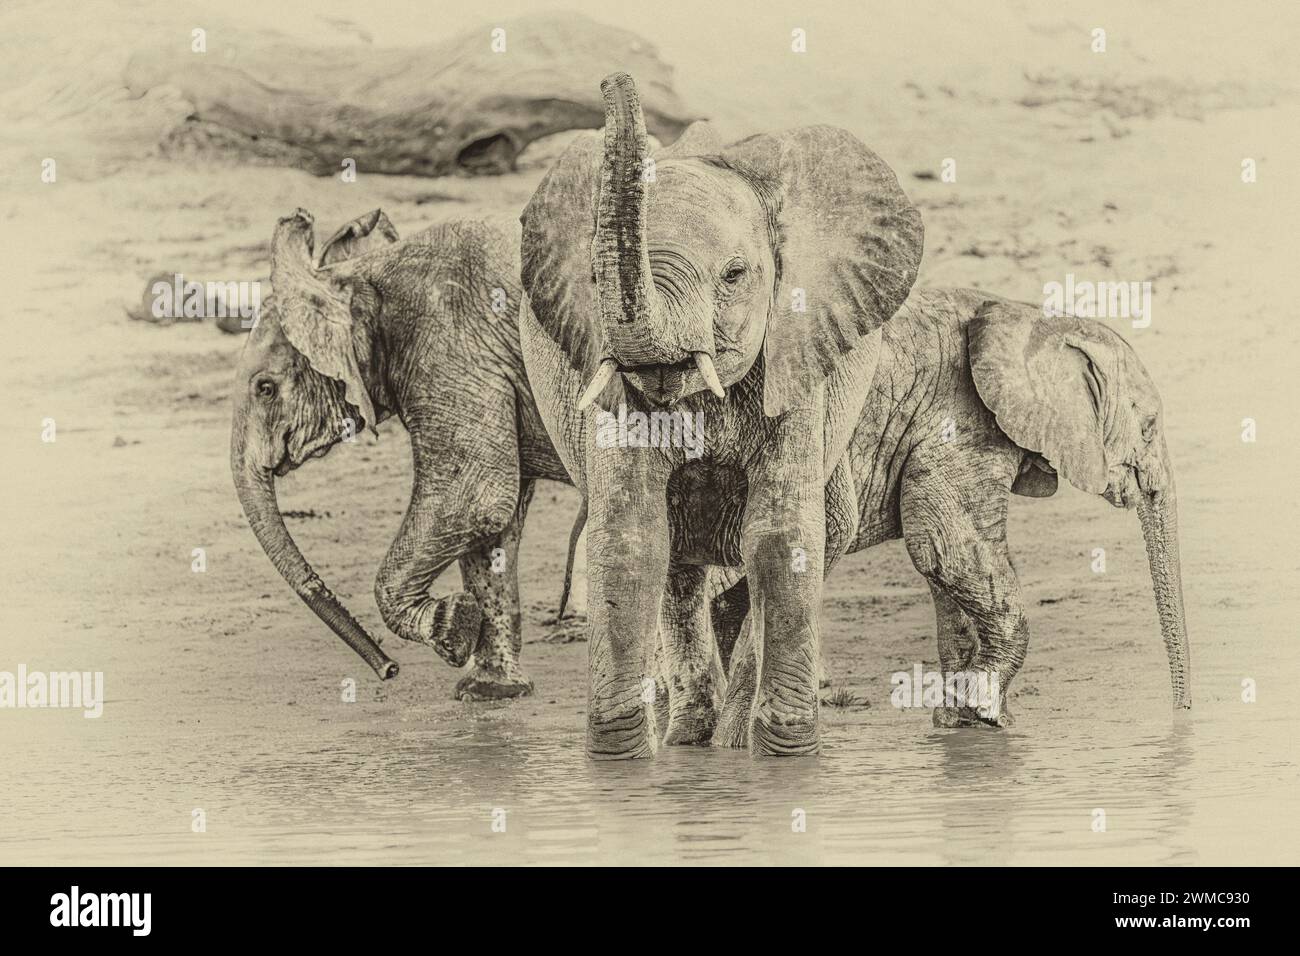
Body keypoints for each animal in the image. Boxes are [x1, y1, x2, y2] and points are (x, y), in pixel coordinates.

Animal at [230, 207, 571, 699]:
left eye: (265, 388)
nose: (390, 670)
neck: (359, 276)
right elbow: (494, 524)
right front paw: (490, 689)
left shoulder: (449, 348)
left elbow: (475, 499)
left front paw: (452, 627)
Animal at [518, 72, 924, 758]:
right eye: (594, 277)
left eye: (735, 275)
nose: (614, 81)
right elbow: (630, 536)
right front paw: (621, 763)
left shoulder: (797, 348)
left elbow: (781, 538)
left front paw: (782, 758)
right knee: (679, 567)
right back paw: (689, 738)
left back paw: (728, 742)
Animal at [713, 288, 1191, 745]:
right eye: (1148, 425)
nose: (1182, 721)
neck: (1028, 314)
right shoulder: (962, 422)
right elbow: (949, 552)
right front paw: (982, 708)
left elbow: (947, 579)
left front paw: (967, 723)